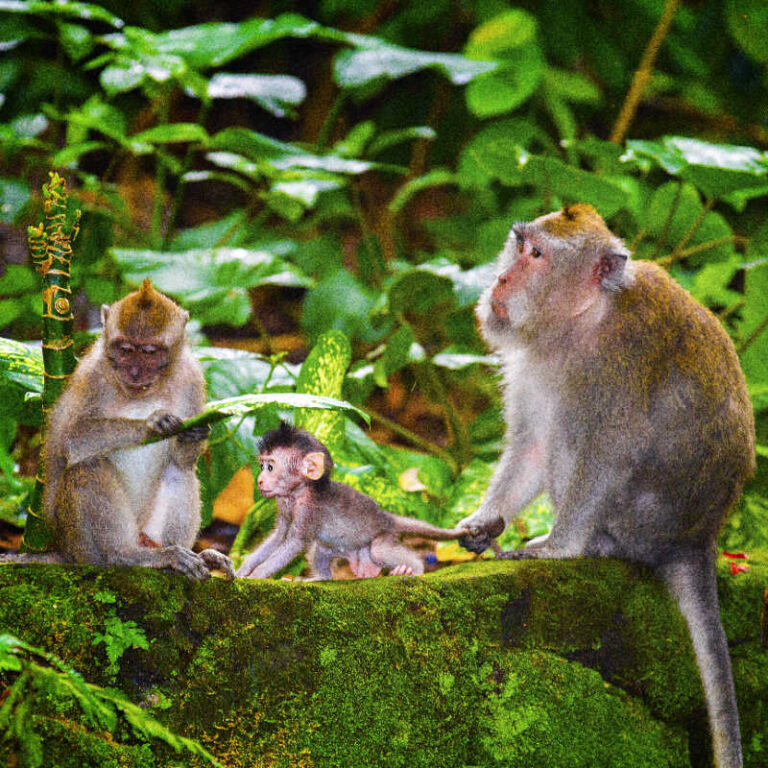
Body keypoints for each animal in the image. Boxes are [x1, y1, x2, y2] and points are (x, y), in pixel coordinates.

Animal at [3, 279, 234, 580]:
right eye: (125, 349)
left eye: (149, 352)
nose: (134, 372)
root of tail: (65, 552)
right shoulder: (91, 375)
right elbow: (73, 439)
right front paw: (152, 424)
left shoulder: (192, 377)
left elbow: (182, 460)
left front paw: (192, 434)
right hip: (81, 545)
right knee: (87, 467)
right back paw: (127, 556)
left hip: (145, 529)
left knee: (178, 471)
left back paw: (181, 554)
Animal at [236, 422, 470, 580]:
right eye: (262, 466)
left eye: (270, 467)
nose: (259, 480)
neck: (298, 492)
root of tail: (387, 517)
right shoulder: (283, 505)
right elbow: (278, 536)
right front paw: (243, 569)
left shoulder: (309, 509)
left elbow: (294, 544)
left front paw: (256, 575)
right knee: (320, 549)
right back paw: (322, 578)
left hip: (384, 537)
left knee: (380, 551)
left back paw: (414, 569)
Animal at [457, 203, 755, 768]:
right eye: (519, 246)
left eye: (537, 255)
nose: (501, 280)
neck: (581, 321)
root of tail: (697, 539)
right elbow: (531, 447)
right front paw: (484, 520)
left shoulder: (613, 365)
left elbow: (608, 451)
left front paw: (558, 548)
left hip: (640, 519)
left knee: (576, 439)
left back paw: (592, 545)